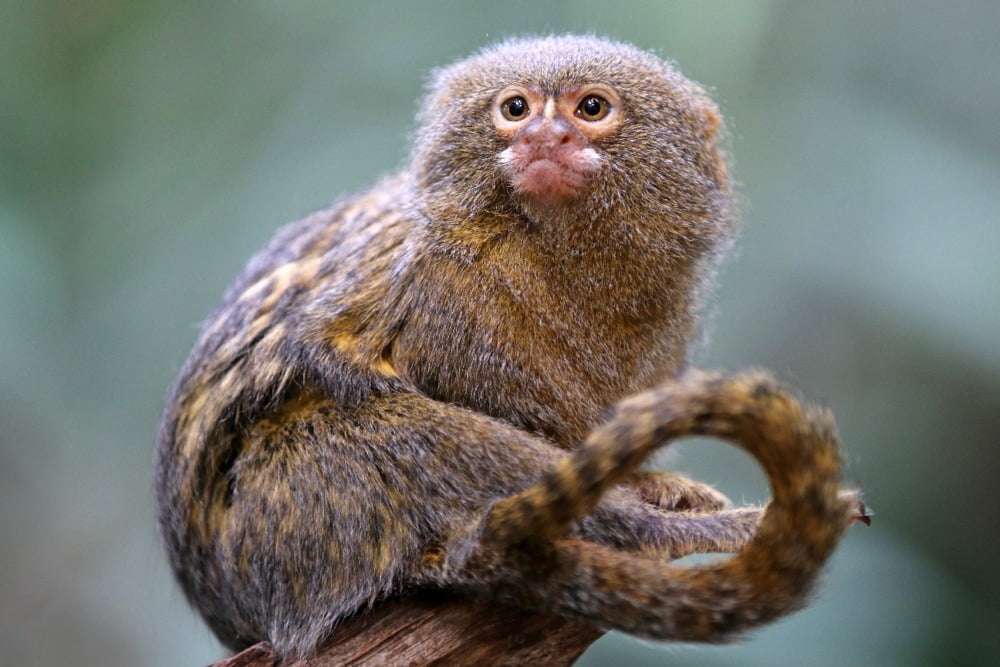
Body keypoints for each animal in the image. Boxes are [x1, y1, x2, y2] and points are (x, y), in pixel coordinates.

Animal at [155, 35, 866, 660]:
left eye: (591, 109)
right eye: (515, 109)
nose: (544, 139)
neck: (545, 245)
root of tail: (238, 615)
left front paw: (655, 481)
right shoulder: (428, 276)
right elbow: (331, 356)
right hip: (288, 520)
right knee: (388, 433)